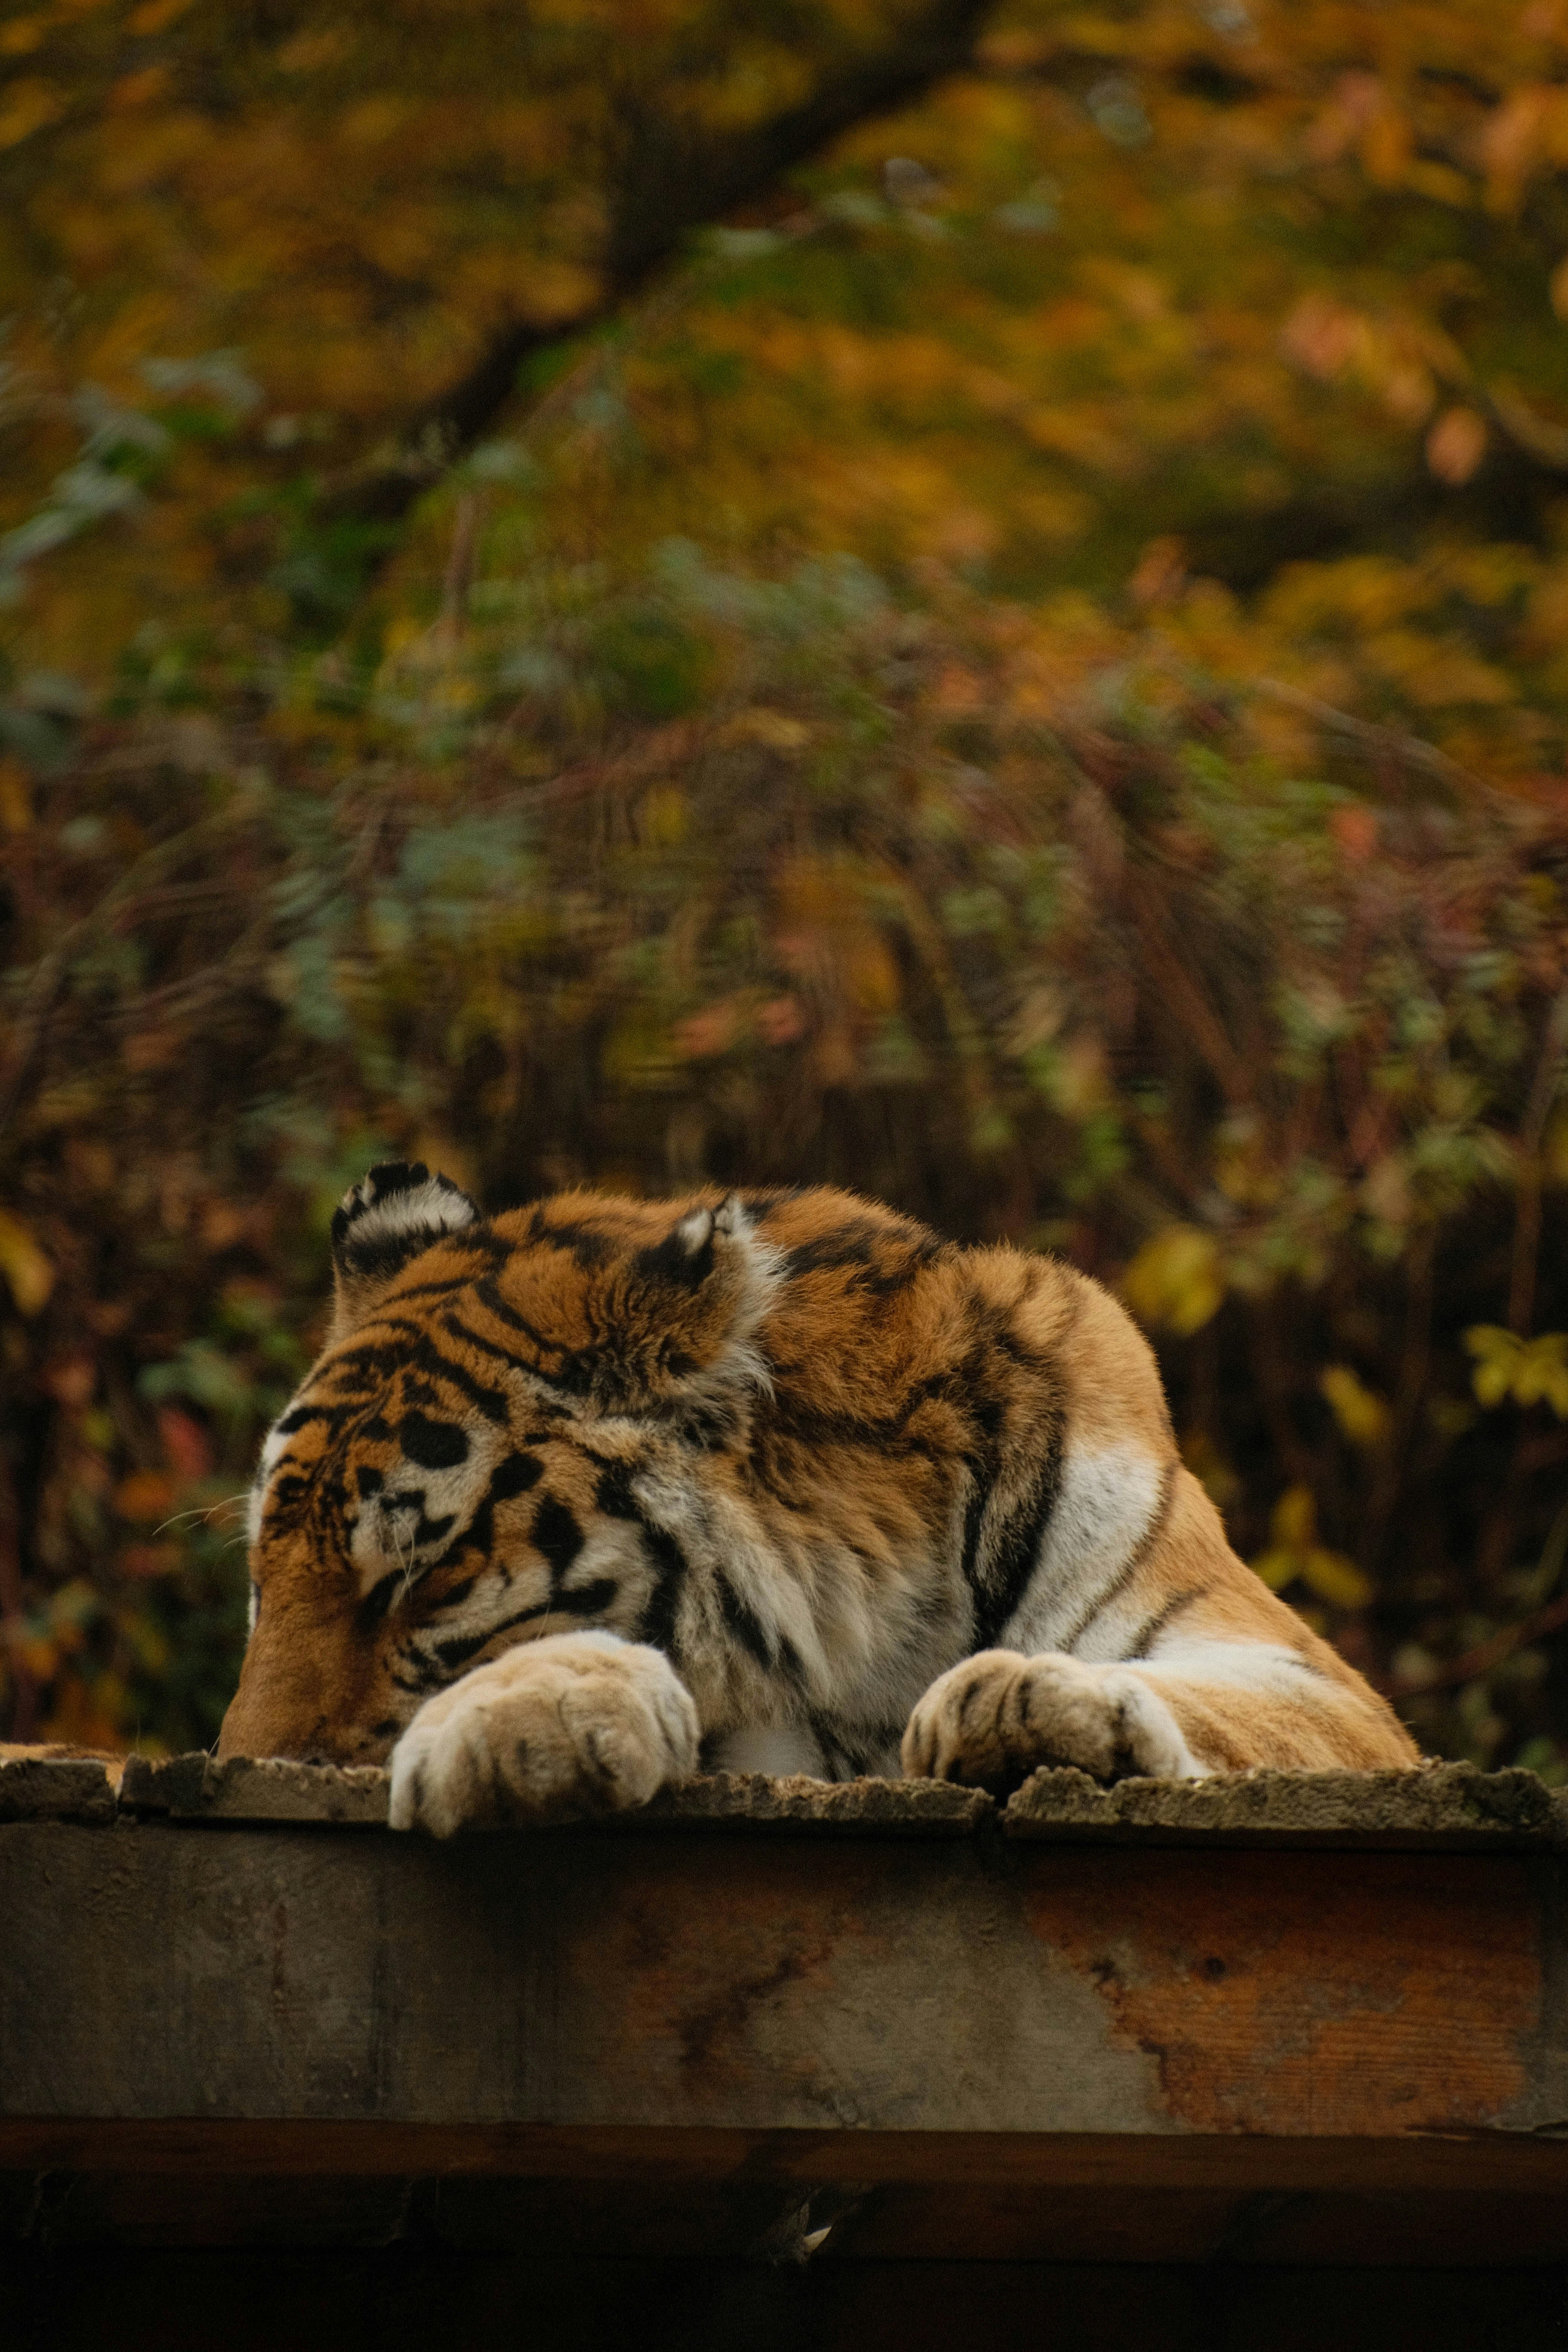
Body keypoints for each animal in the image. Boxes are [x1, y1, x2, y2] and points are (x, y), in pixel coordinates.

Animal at [217, 1162, 1418, 1831]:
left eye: (424, 1579)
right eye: (261, 1578)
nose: (240, 1767)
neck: (874, 1633)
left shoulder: (1325, 1692)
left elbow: (1224, 1708)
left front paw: (1026, 1703)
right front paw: (524, 1724)